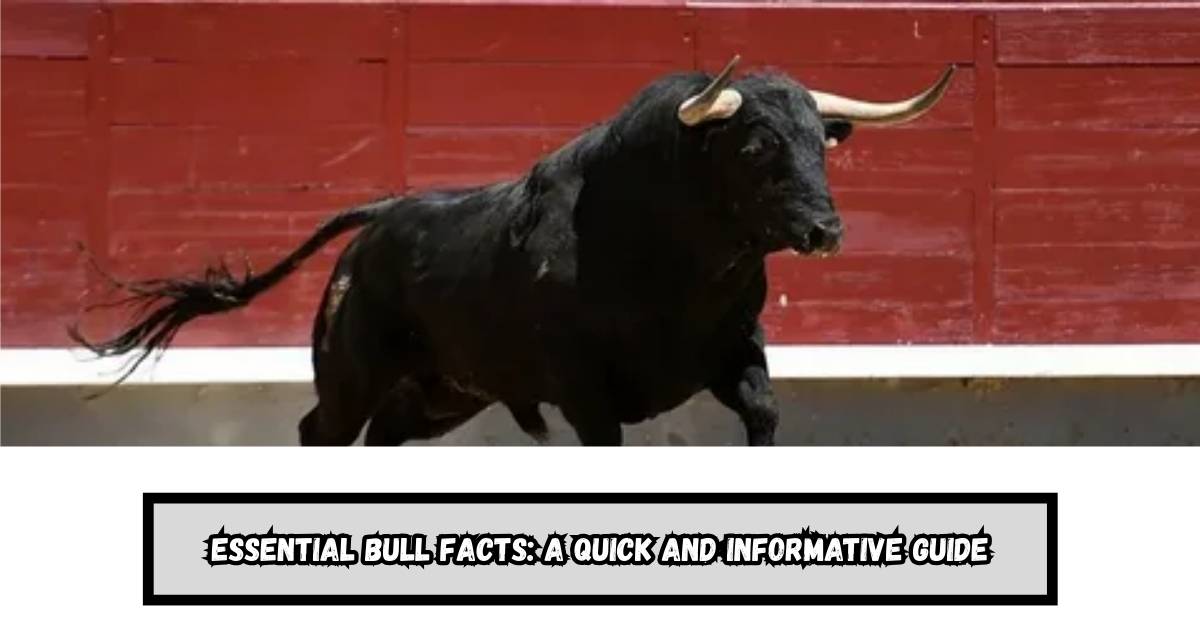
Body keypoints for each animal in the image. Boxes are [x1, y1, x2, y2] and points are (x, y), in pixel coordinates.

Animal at [73, 56, 954, 446]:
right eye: (757, 145)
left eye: (821, 145)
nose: (825, 232)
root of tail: (380, 218)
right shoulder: (586, 394)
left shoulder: (737, 350)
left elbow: (766, 412)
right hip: (356, 375)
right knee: (319, 431)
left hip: (436, 396)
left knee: (380, 437)